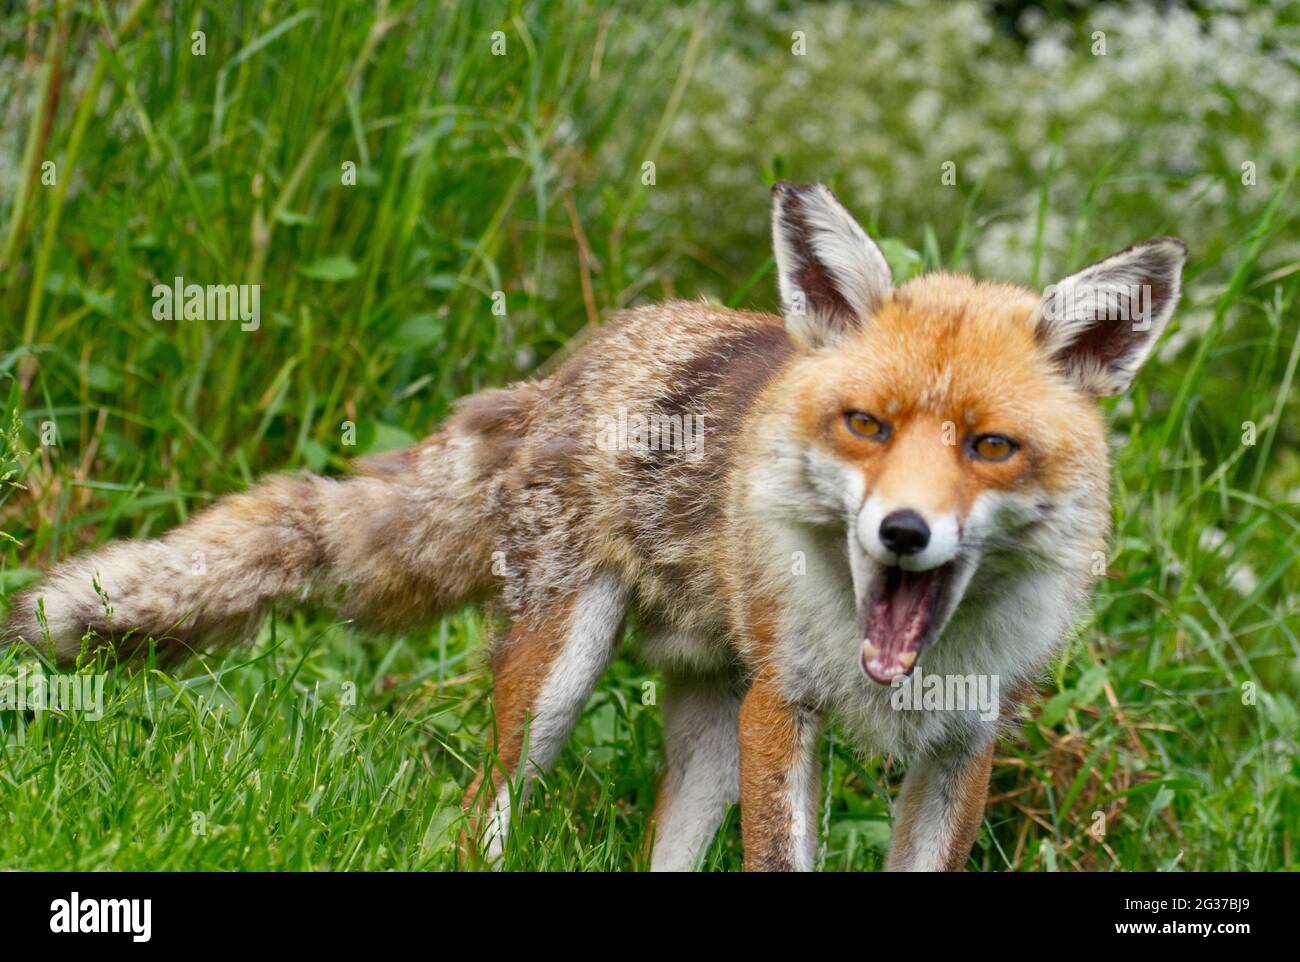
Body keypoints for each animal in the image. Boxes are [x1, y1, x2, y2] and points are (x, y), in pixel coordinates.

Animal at [3, 182, 1186, 872]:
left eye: (989, 445)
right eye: (868, 425)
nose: (902, 531)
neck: (888, 661)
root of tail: (571, 364)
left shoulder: (960, 747)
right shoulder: (785, 708)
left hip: (709, 729)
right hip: (562, 676)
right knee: (482, 811)